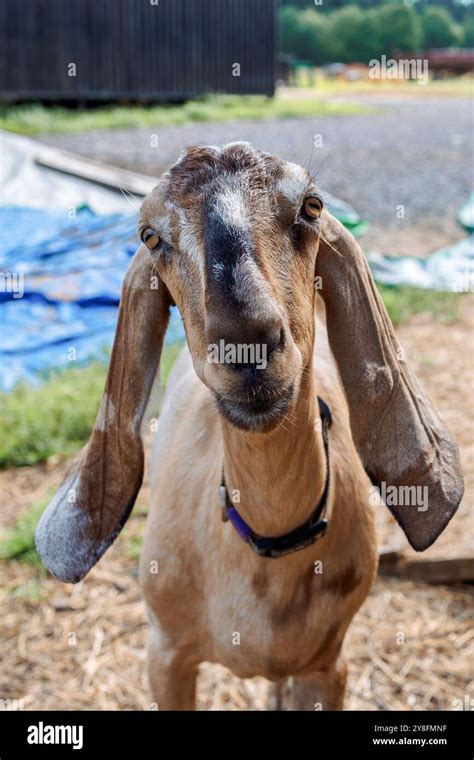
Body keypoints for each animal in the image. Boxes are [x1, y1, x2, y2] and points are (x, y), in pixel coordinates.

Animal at [36, 142, 463, 710]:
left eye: (311, 206)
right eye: (150, 236)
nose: (246, 345)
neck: (264, 552)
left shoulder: (328, 666)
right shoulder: (165, 655)